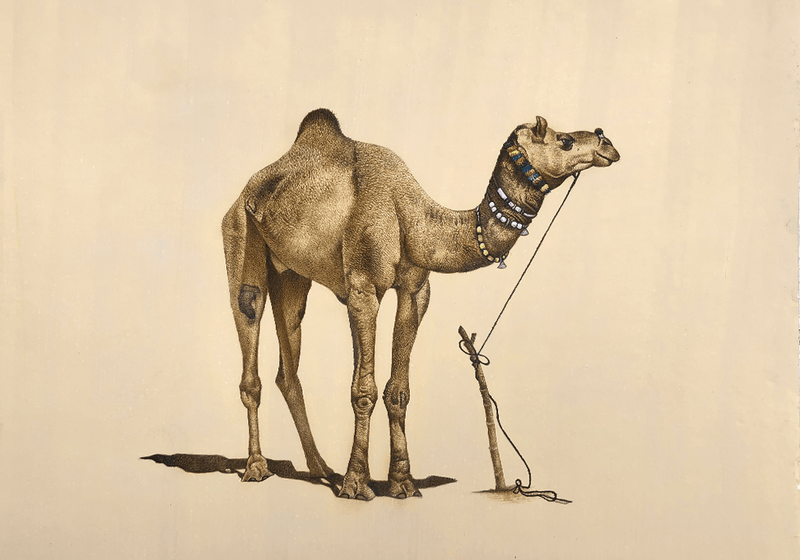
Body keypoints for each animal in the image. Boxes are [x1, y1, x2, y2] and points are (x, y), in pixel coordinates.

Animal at [221, 109, 620, 500]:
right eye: (564, 140)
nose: (607, 143)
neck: (410, 217)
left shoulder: (415, 291)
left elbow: (398, 391)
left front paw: (402, 482)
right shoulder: (363, 288)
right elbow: (363, 390)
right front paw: (356, 484)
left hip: (291, 275)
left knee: (288, 368)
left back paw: (320, 468)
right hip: (240, 237)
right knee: (249, 328)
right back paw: (257, 467)